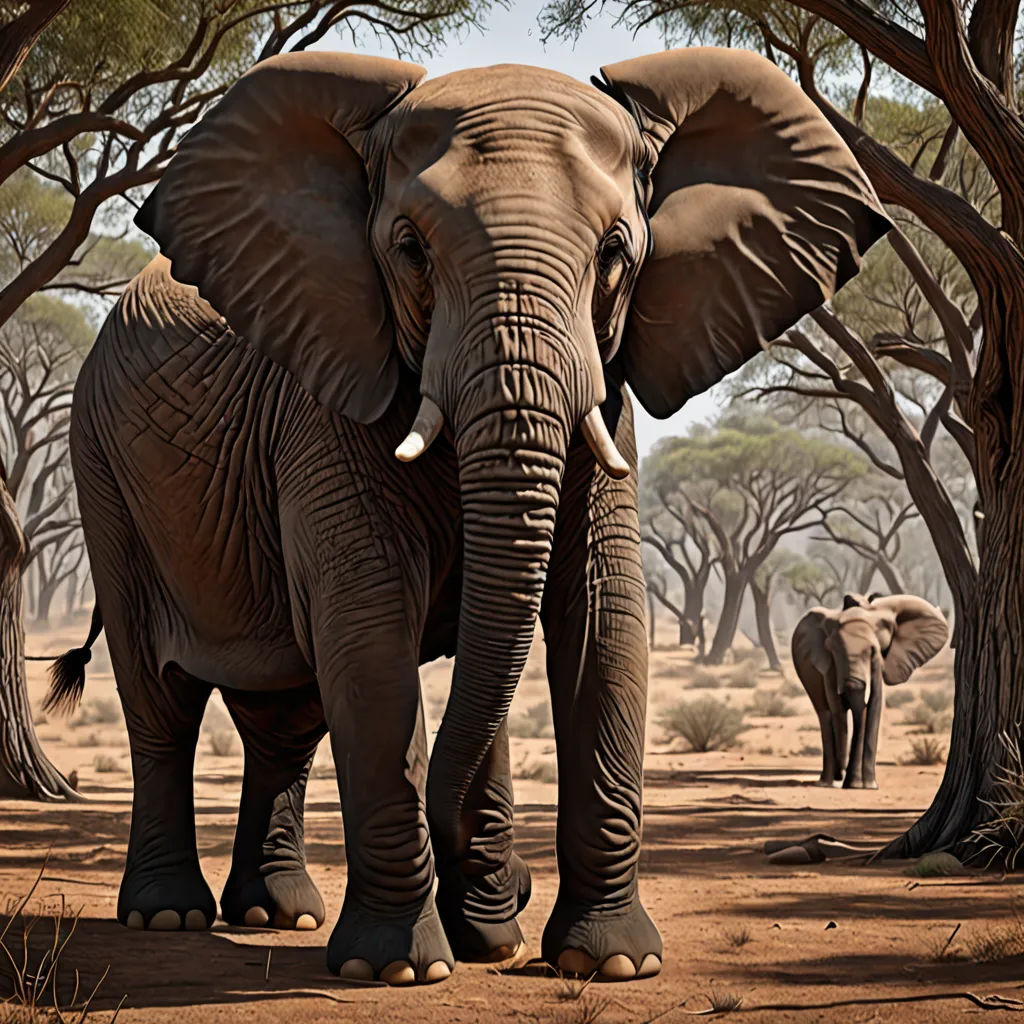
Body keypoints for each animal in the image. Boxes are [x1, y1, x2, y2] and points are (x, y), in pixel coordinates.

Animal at [47, 47, 890, 985]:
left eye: (615, 252)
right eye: (410, 250)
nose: (514, 881)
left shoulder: (609, 395)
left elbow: (603, 621)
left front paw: (594, 961)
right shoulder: (332, 391)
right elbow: (370, 631)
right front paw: (401, 968)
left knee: (287, 710)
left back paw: (280, 914)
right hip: (102, 471)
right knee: (161, 697)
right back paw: (170, 915)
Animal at [791, 593, 949, 789]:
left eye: (872, 651)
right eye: (832, 649)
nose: (842, 776)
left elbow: (875, 703)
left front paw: (867, 786)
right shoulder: (828, 665)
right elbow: (838, 709)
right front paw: (854, 784)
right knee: (825, 713)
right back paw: (827, 781)